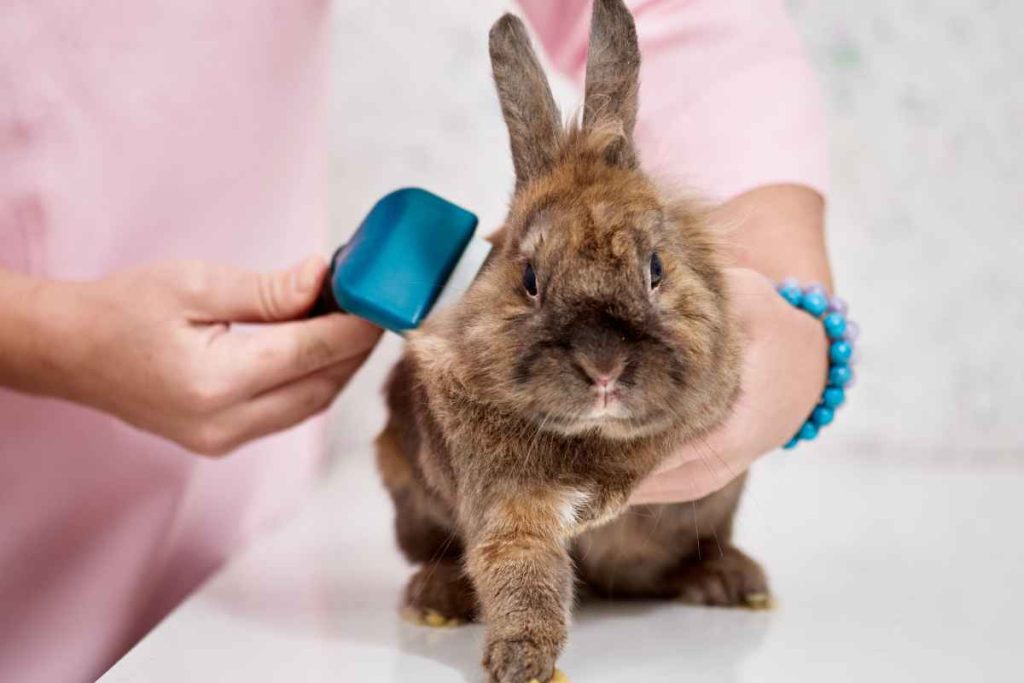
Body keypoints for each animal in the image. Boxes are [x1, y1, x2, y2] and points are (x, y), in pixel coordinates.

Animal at [374, 1, 769, 681]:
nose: (603, 366)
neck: (596, 436)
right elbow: (521, 569)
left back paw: (734, 582)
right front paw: (521, 661)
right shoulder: (510, 504)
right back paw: (436, 600)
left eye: (656, 268)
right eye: (529, 279)